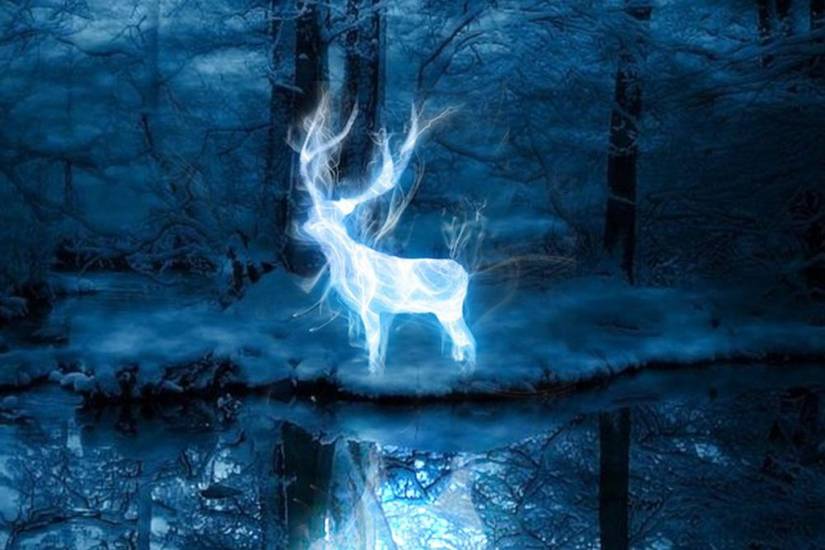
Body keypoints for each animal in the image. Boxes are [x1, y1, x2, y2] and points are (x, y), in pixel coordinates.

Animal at [298, 98, 476, 374]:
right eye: (314, 212)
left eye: (326, 216)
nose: (306, 226)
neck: (345, 263)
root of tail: (464, 274)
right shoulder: (383, 312)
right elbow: (380, 347)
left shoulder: (369, 306)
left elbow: (373, 346)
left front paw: (373, 373)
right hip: (448, 312)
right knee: (463, 339)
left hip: (449, 308)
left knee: (469, 339)